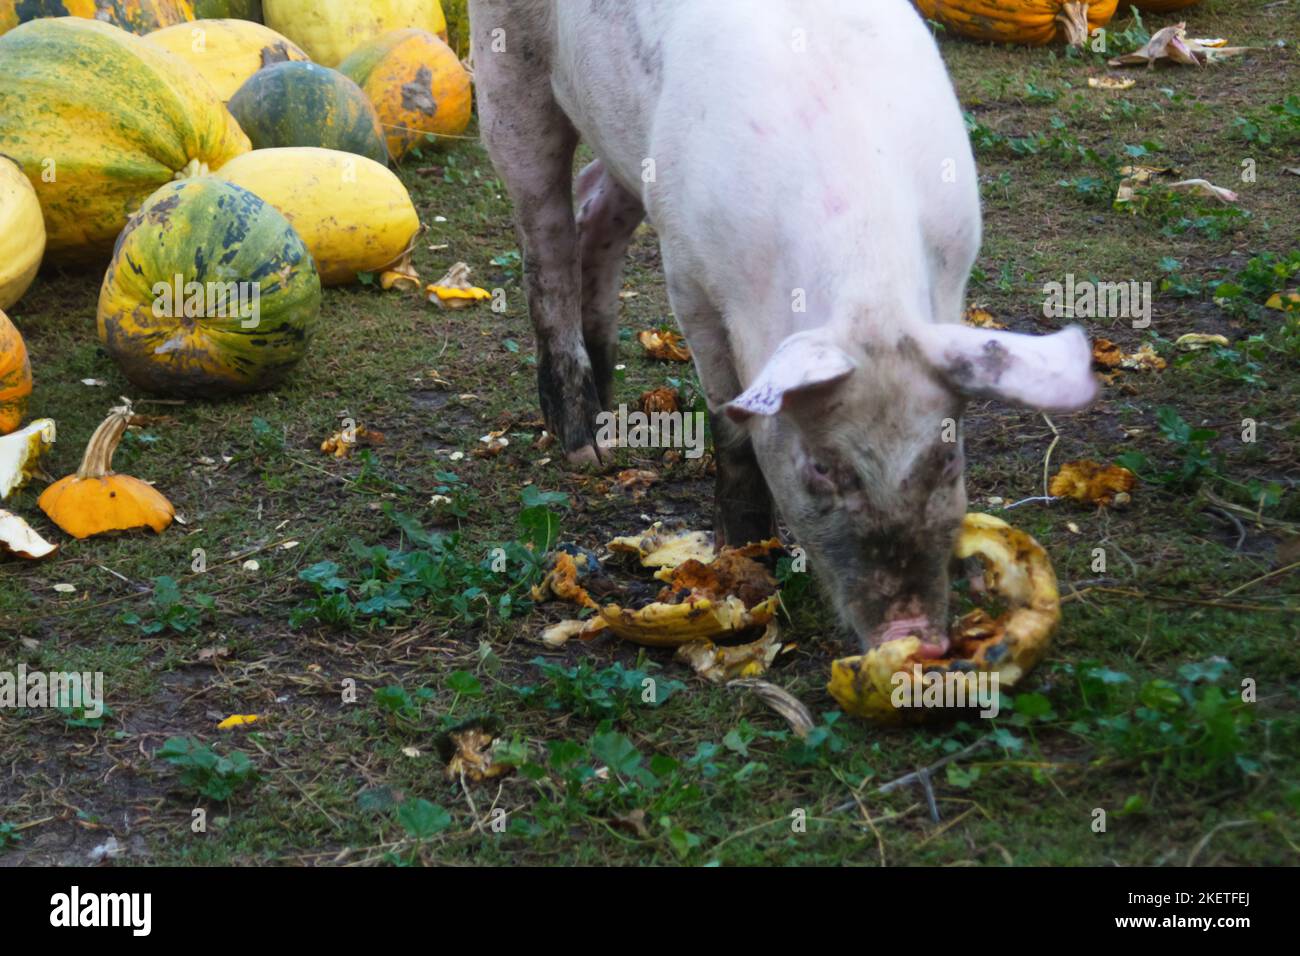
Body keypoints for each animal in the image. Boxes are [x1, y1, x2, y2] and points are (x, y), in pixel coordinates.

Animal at [469, 0, 1097, 656]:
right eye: (821, 468)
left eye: (948, 459)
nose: (915, 636)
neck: (865, 286)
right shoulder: (690, 278)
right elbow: (729, 416)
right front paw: (743, 559)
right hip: (507, 70)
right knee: (547, 240)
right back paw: (589, 448)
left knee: (594, 203)